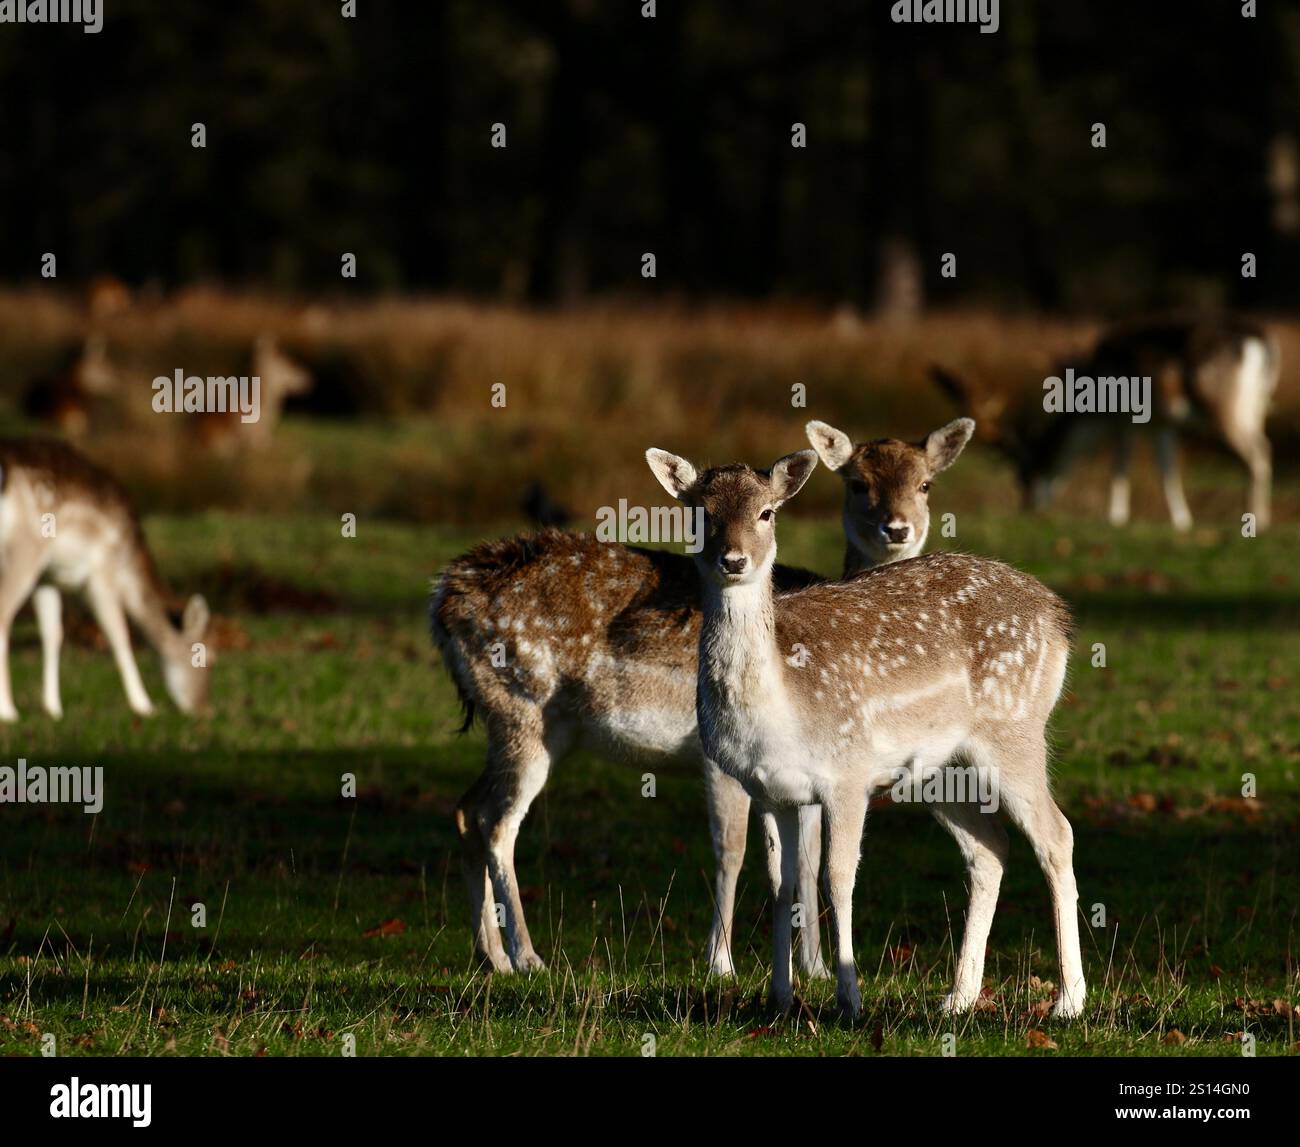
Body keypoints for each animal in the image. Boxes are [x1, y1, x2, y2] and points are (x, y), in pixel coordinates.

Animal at [0, 439, 212, 721]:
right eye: (208, 658)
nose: (204, 709)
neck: (128, 563)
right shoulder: (102, 572)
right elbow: (119, 634)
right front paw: (143, 705)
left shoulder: (49, 578)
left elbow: (53, 635)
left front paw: (54, 708)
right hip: (26, 549)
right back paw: (8, 711)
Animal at [431, 418, 974, 979]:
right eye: (858, 484)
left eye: (926, 484)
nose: (897, 528)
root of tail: (442, 599)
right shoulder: (718, 756)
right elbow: (734, 848)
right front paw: (722, 962)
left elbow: (798, 855)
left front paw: (815, 968)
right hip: (523, 708)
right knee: (498, 824)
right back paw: (528, 956)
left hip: (524, 723)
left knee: (468, 809)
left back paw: (491, 955)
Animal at [644, 445, 1085, 1019]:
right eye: (700, 512)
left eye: (767, 513)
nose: (734, 560)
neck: (781, 704)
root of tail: (1058, 618)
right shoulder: (769, 789)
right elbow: (781, 884)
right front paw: (779, 998)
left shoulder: (848, 772)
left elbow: (837, 876)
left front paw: (848, 998)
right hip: (940, 771)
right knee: (990, 847)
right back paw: (958, 998)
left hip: (1016, 729)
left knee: (1057, 835)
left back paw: (1068, 1002)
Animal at [932, 316, 1279, 531]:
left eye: (1025, 477)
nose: (1029, 508)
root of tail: (1263, 346)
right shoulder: (1162, 423)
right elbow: (1167, 469)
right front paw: (1182, 522)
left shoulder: (1123, 417)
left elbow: (1119, 465)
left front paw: (1116, 517)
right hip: (1256, 407)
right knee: (1263, 446)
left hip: (1225, 407)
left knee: (1258, 453)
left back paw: (1258, 521)